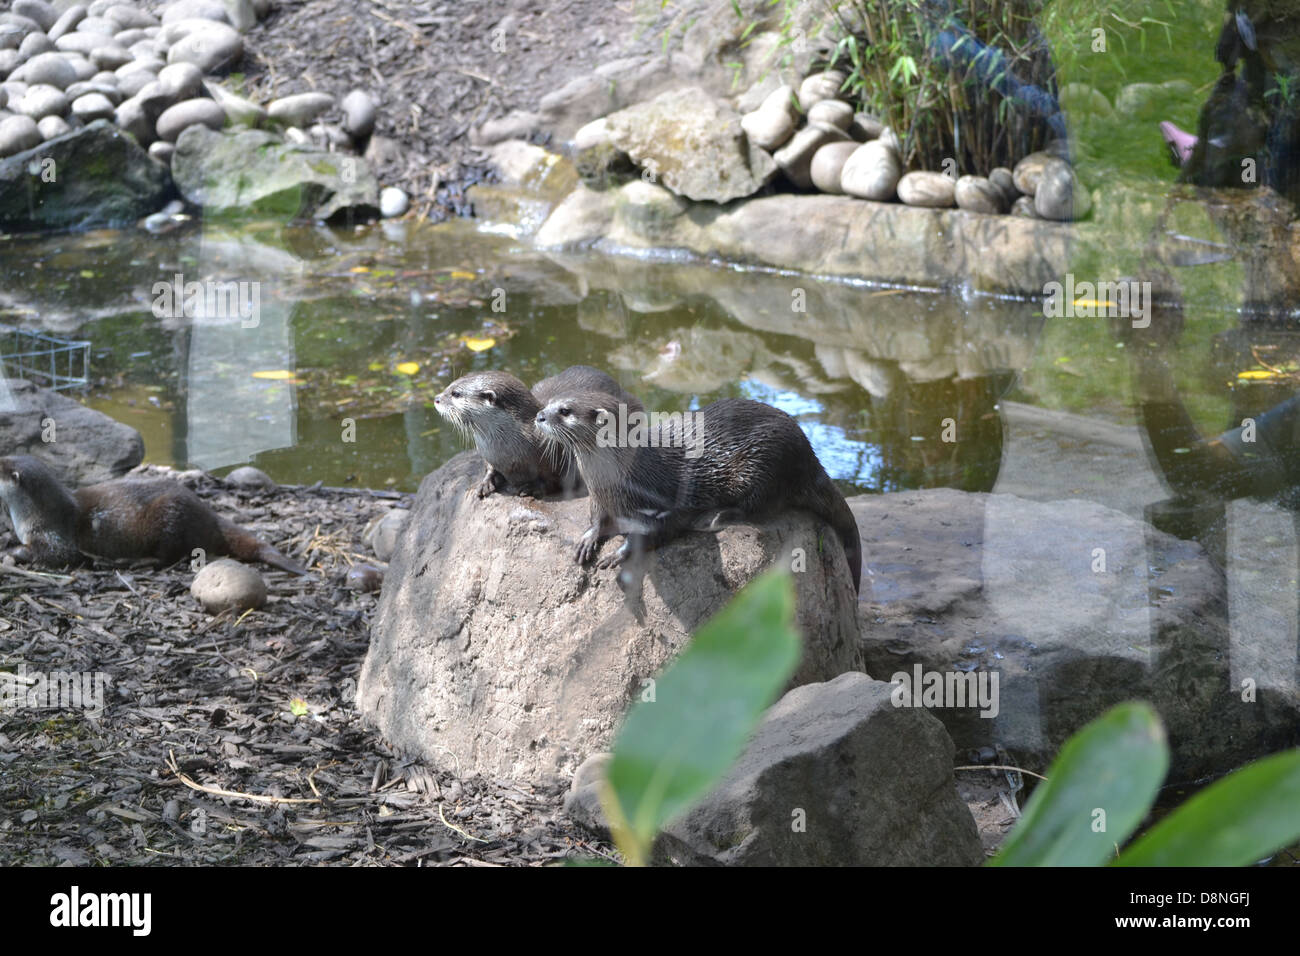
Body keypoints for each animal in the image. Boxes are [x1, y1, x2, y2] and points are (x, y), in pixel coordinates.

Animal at [0, 455, 306, 574]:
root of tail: (208, 515)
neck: (31, 516)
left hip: (171, 516)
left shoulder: (57, 536)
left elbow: (59, 554)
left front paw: (14, 552)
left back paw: (134, 562)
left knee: (169, 556)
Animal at [433, 365, 635, 498]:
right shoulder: (488, 454)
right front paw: (484, 482)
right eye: (450, 385)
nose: (436, 399)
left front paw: (531, 488)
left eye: (456, 394)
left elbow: (553, 482)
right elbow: (489, 467)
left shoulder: (559, 457)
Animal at [534, 392, 862, 593]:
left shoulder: (664, 508)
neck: (614, 482)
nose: (539, 415)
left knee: (759, 504)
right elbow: (597, 520)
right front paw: (588, 539)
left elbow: (655, 533)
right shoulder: (599, 498)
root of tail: (811, 457)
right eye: (549, 403)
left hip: (764, 462)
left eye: (564, 411)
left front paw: (618, 553)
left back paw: (713, 517)